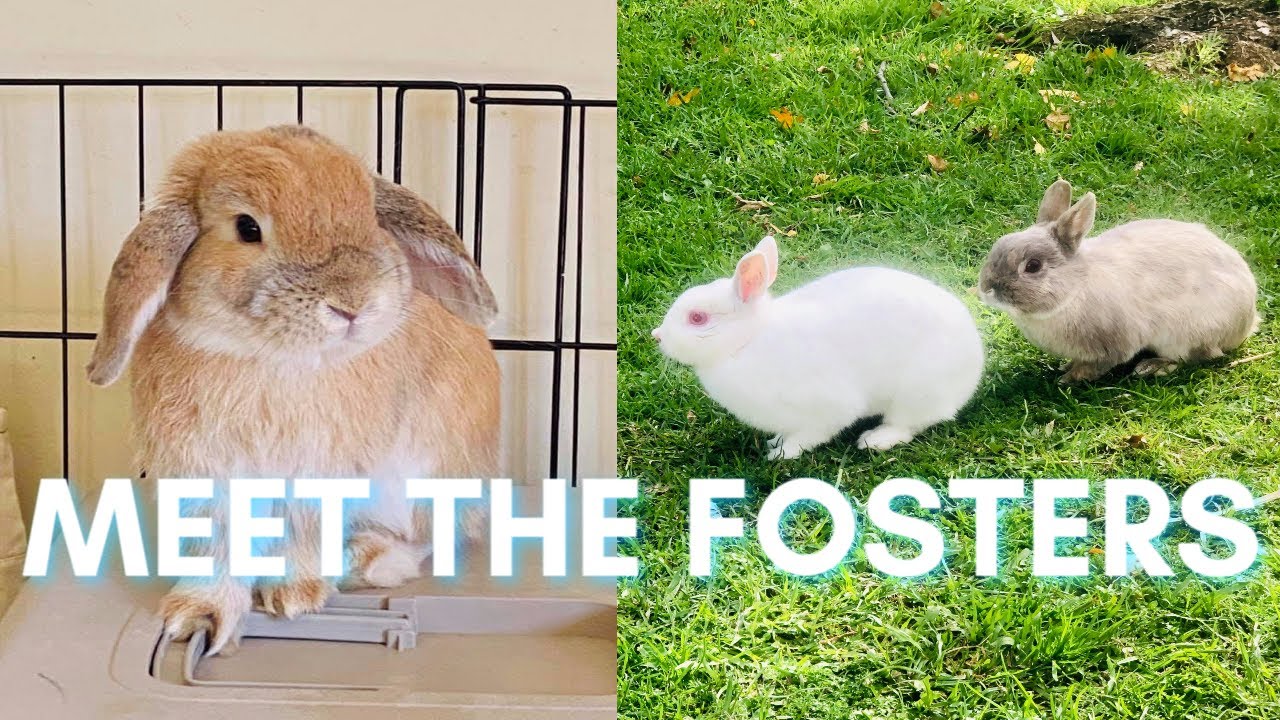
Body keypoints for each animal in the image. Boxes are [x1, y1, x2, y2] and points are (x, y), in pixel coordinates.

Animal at [85, 125, 500, 656]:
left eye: (370, 215)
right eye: (247, 227)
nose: (351, 302)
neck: (272, 356)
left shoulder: (317, 475)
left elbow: (301, 534)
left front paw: (294, 599)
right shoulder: (204, 477)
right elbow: (215, 547)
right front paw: (196, 617)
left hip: (429, 474)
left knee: (432, 535)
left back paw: (371, 561)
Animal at [651, 235, 984, 459]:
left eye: (697, 318)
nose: (657, 336)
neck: (748, 341)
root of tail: (975, 363)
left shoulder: (830, 408)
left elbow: (813, 433)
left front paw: (782, 453)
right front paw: (775, 442)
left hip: (918, 392)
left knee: (908, 425)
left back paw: (875, 440)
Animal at [978, 179, 1259, 384]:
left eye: (1033, 266)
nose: (987, 289)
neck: (1074, 289)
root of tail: (1247, 321)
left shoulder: (1110, 346)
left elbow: (1094, 366)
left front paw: (1069, 378)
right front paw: (1065, 366)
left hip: (1188, 334)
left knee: (1198, 356)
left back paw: (1151, 367)